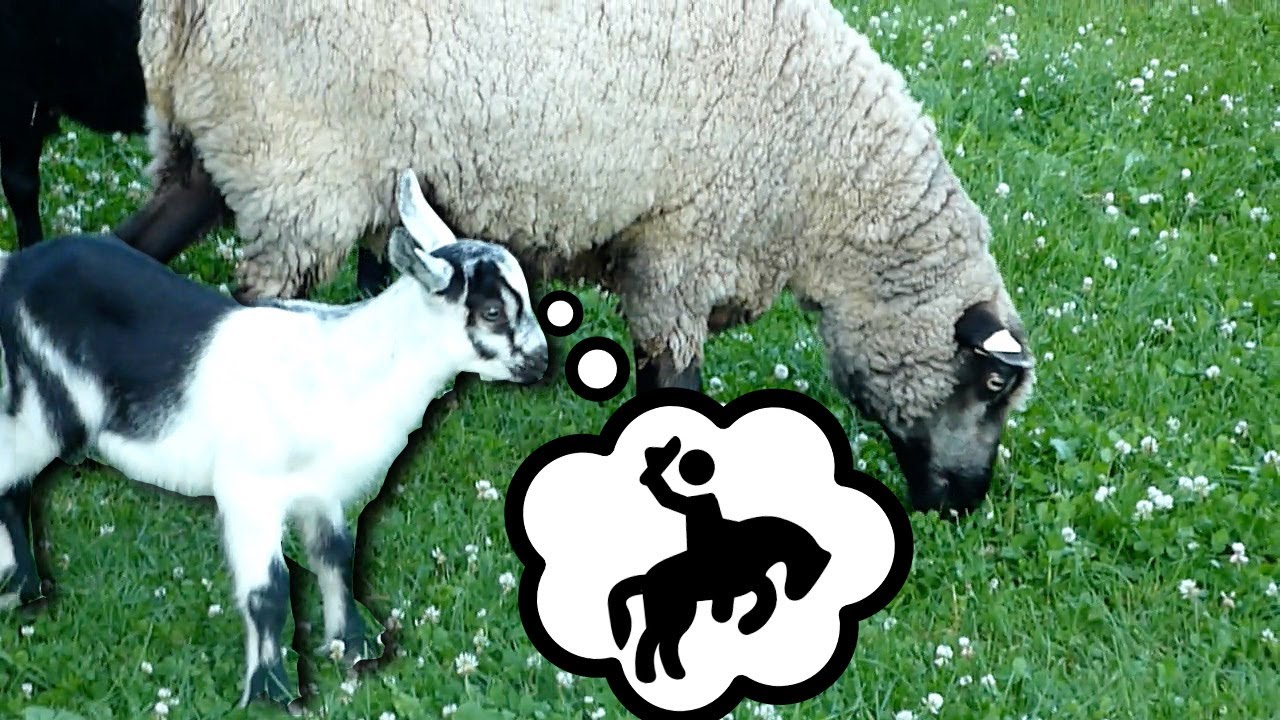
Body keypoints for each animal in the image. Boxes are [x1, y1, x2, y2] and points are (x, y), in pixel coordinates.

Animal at [0, 169, 550, 711]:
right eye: (492, 312)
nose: (540, 361)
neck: (351, 364)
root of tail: (16, 268)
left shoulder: (323, 492)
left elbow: (335, 558)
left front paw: (353, 648)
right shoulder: (249, 491)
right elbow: (269, 590)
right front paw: (271, 692)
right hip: (38, 407)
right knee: (11, 481)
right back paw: (21, 588)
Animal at [114, 0, 1036, 516]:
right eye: (993, 385)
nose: (962, 507)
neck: (827, 185)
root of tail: (185, 15)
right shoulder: (682, 249)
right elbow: (678, 384)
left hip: (215, 151)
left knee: (130, 249)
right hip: (298, 170)